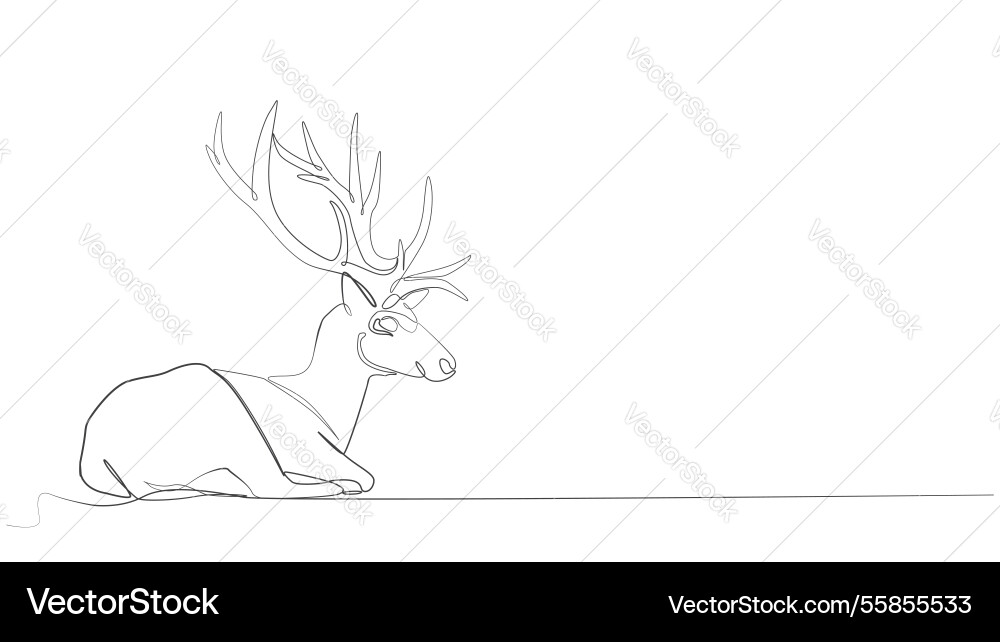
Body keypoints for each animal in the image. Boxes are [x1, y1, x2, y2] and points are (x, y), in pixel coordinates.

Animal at [78, 103, 470, 503]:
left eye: (415, 314)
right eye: (384, 323)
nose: (446, 363)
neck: (328, 410)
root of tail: (96, 452)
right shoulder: (304, 441)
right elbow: (364, 476)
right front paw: (339, 481)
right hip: (225, 415)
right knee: (268, 485)